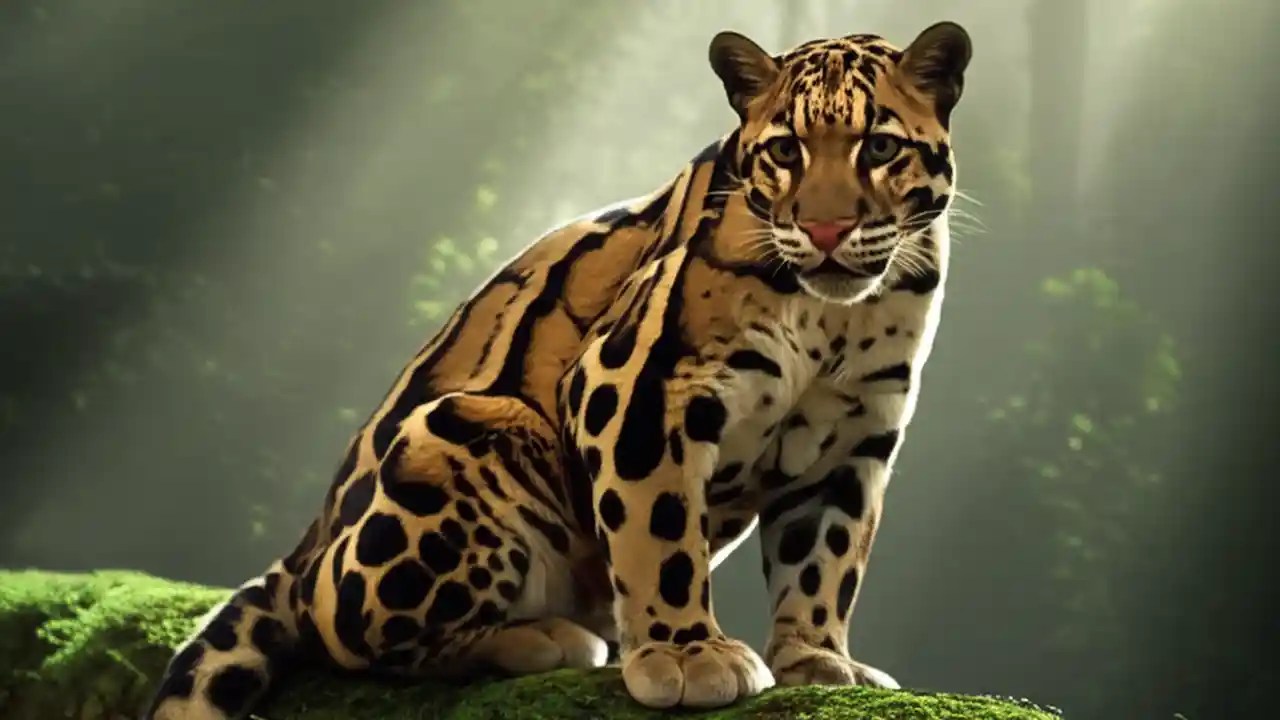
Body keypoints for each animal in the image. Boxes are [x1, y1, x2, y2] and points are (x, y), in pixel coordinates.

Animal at [145, 20, 972, 719]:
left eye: (880, 149)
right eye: (784, 152)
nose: (826, 228)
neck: (835, 315)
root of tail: (306, 545)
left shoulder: (854, 437)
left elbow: (824, 560)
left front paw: (817, 658)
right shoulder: (635, 384)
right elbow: (660, 535)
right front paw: (685, 654)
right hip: (460, 431)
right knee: (354, 638)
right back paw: (538, 637)